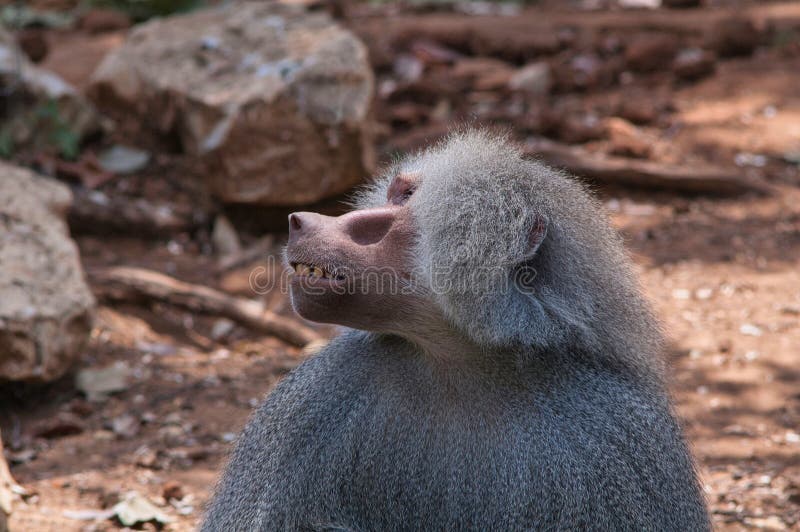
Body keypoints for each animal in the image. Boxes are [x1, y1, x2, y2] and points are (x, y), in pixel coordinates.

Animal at [203, 130, 710, 531]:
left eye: (407, 203)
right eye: (398, 193)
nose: (300, 221)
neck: (458, 362)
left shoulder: (621, 438)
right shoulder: (305, 410)